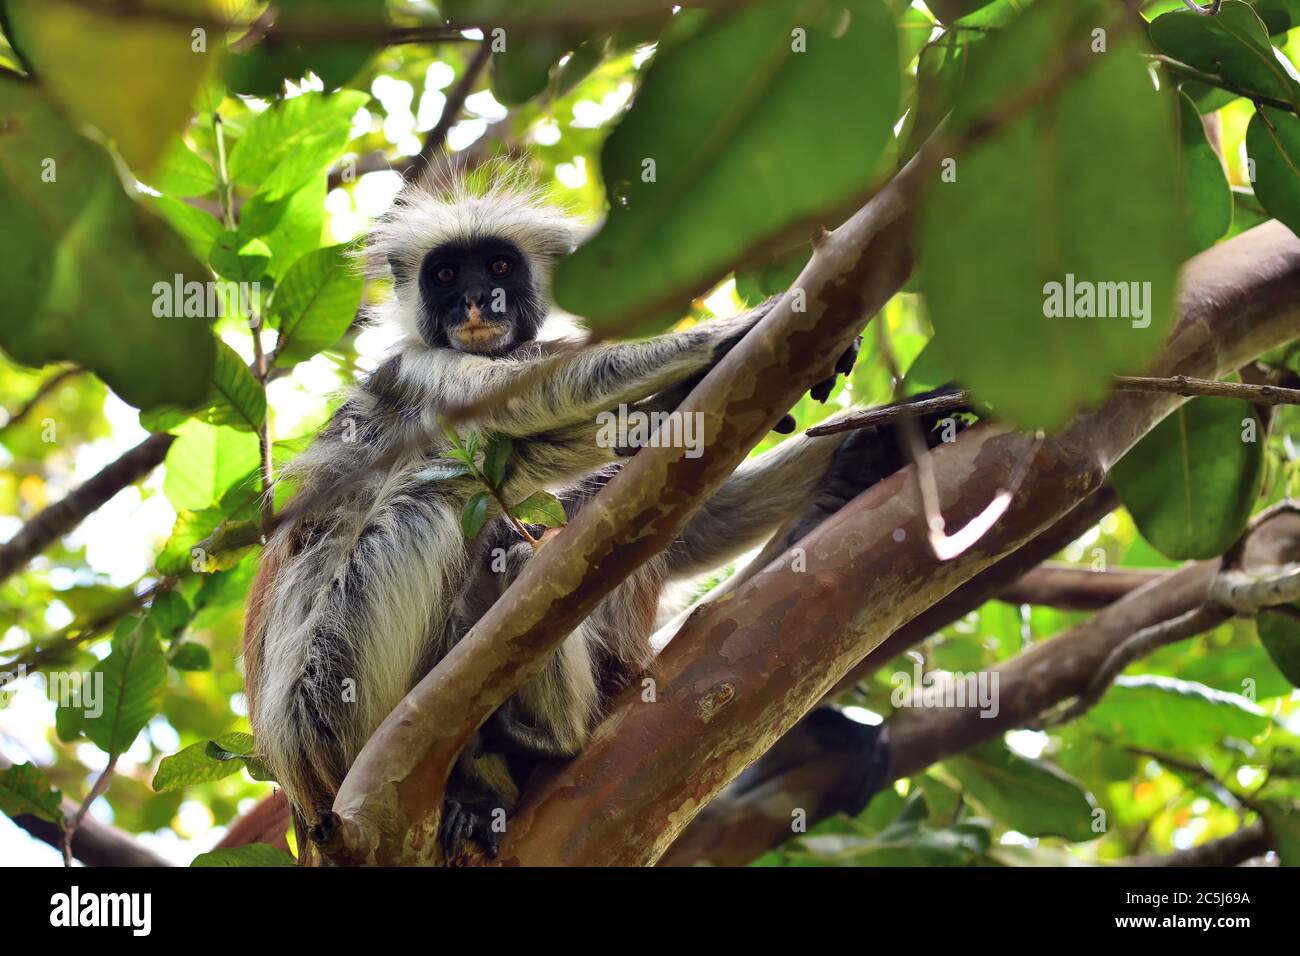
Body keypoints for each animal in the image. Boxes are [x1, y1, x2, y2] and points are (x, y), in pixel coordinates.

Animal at [241, 166, 965, 860]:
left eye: (498, 268)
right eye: (446, 275)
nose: (479, 302)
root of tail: (307, 797)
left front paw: (872, 438)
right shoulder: (423, 365)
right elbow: (525, 399)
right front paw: (741, 329)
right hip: (326, 703)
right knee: (433, 493)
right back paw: (523, 748)